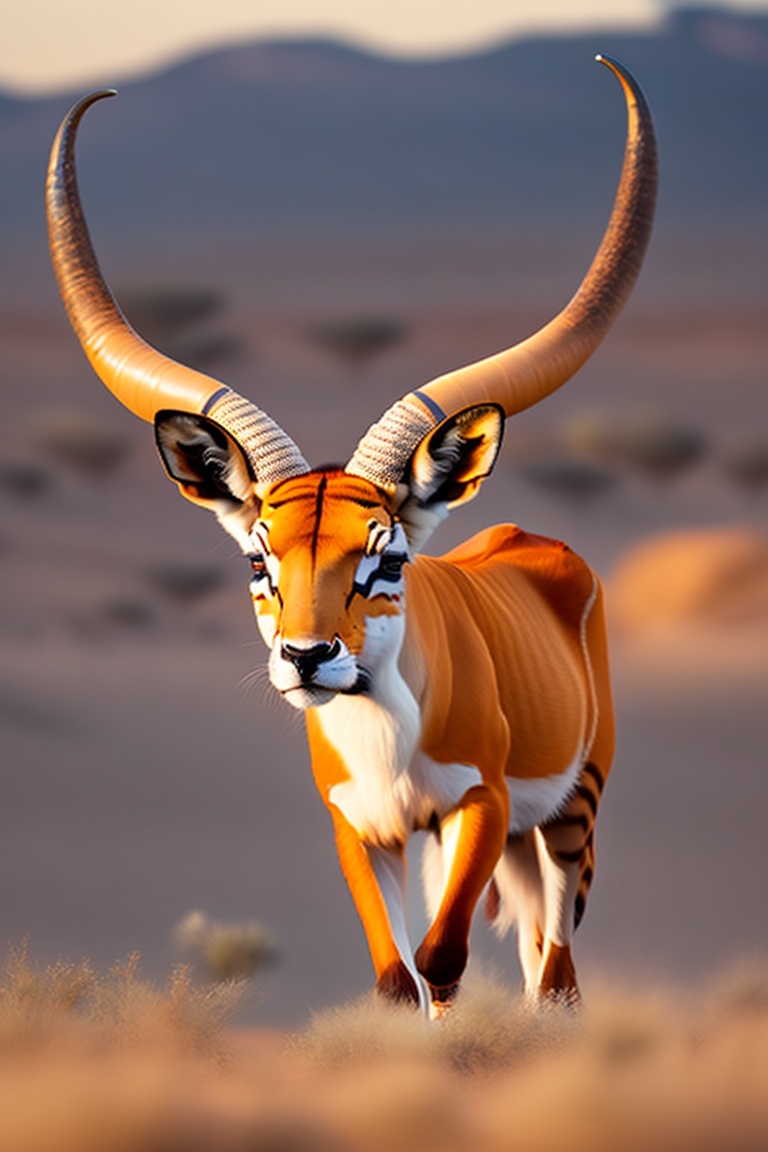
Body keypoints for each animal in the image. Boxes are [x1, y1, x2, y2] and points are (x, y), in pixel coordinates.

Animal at [47, 56, 657, 1015]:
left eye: (388, 554)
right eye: (258, 556)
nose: (308, 658)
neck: (385, 735)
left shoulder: (479, 807)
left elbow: (443, 962)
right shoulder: (364, 829)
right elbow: (397, 982)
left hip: (567, 821)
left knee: (554, 975)